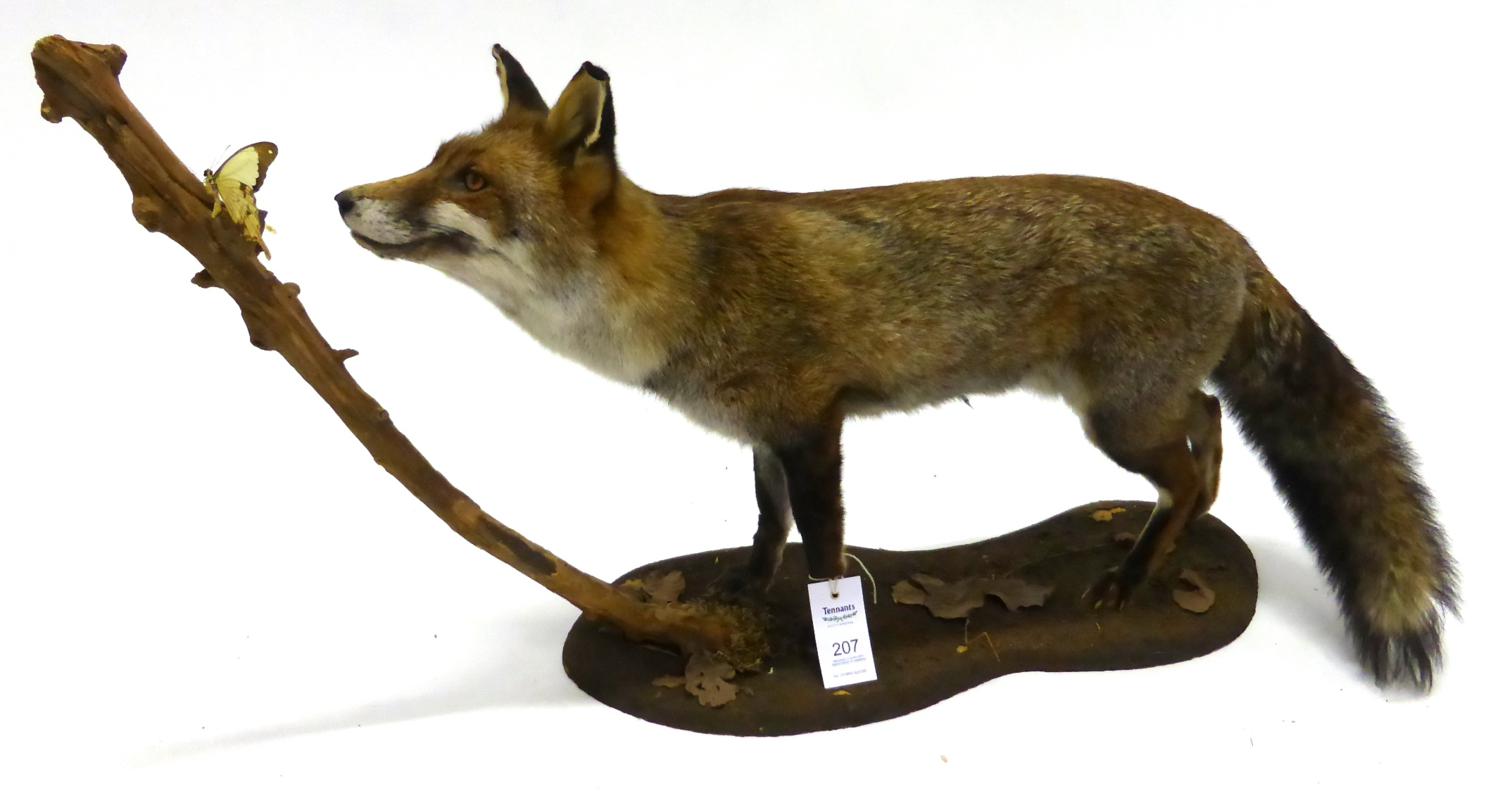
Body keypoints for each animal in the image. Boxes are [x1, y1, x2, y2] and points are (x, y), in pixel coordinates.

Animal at [336, 45, 1455, 690]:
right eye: (434, 159)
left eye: (469, 180)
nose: (343, 195)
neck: (686, 285)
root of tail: (1233, 234)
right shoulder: (764, 431)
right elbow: (765, 524)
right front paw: (742, 591)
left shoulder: (813, 422)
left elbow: (825, 543)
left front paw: (824, 639)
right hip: (1136, 403)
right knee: (1214, 432)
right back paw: (1166, 543)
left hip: (1114, 418)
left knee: (1190, 463)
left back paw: (1137, 572)